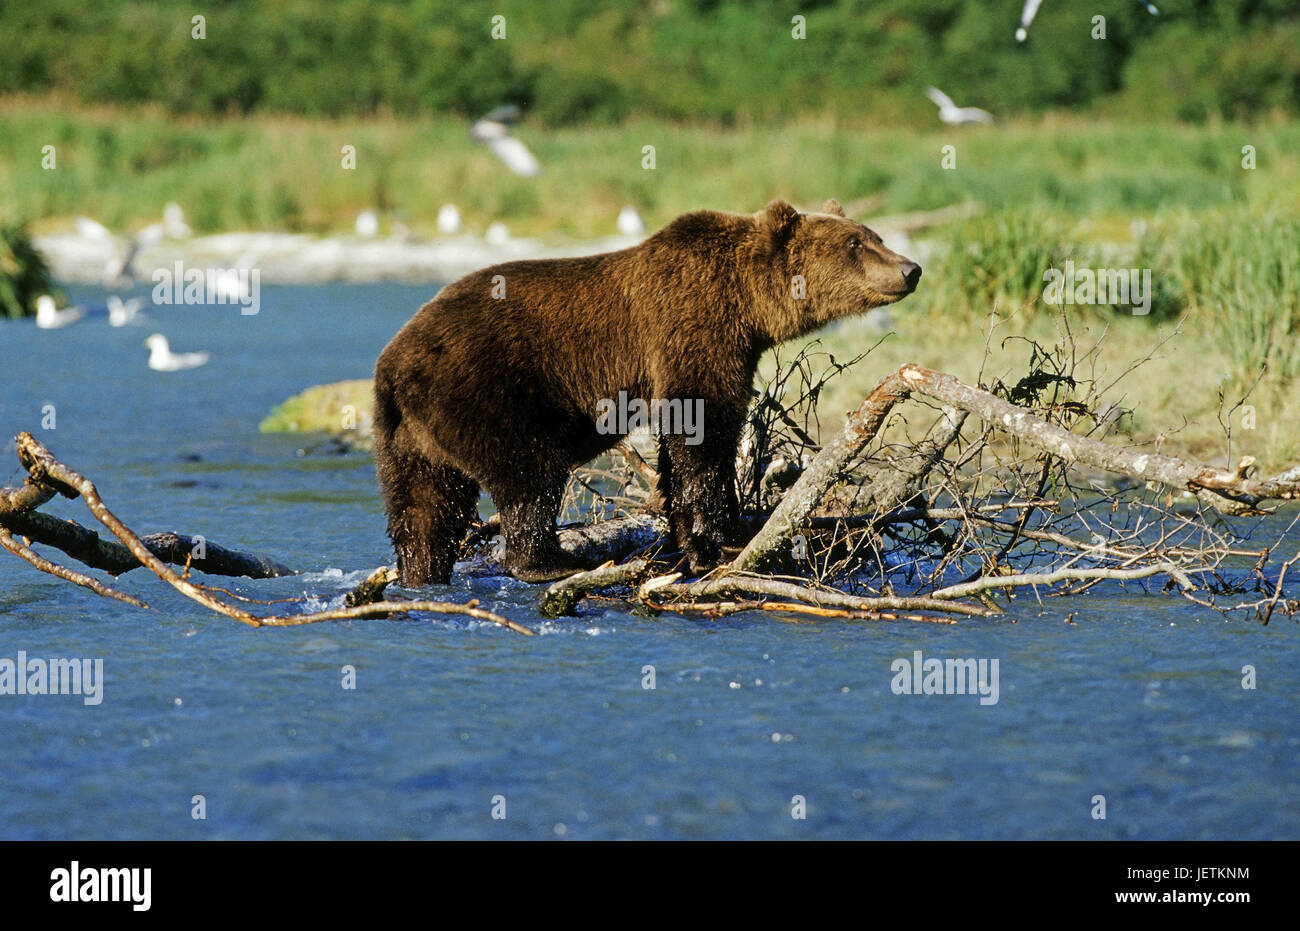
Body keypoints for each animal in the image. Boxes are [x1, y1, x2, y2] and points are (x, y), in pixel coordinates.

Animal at [373, 198, 921, 586]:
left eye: (873, 235)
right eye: (855, 244)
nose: (910, 268)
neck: (746, 307)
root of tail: (392, 364)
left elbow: (679, 447)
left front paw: (689, 537)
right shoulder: (694, 327)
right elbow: (703, 431)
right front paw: (723, 537)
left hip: (410, 435)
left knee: (425, 506)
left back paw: (422, 572)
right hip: (485, 390)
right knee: (529, 472)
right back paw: (549, 562)